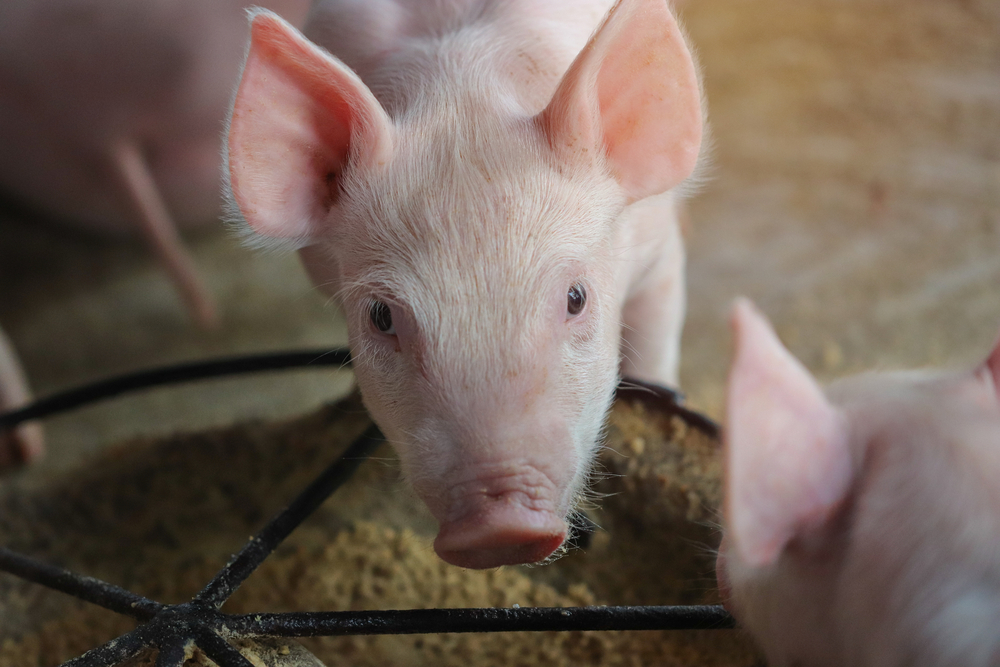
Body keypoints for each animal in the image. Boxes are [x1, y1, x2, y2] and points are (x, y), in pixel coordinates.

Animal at [225, 0, 704, 568]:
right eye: (380, 316)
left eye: (576, 298)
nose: (500, 526)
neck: (461, 91)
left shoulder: (659, 252)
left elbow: (654, 346)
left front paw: (660, 391)